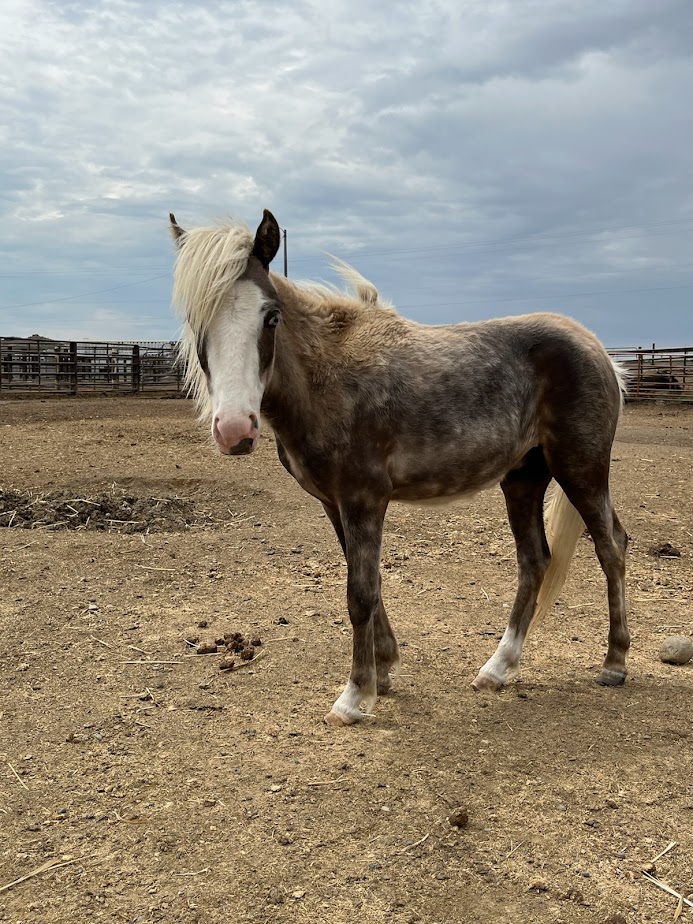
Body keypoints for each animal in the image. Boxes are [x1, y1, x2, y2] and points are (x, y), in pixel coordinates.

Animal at [169, 209, 629, 727]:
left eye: (270, 316)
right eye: (195, 320)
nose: (234, 430)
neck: (328, 378)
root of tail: (598, 351)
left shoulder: (365, 499)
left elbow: (360, 594)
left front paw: (354, 696)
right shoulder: (336, 504)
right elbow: (366, 582)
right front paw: (384, 670)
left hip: (581, 469)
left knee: (611, 547)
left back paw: (614, 662)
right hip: (524, 479)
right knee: (535, 561)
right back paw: (498, 668)